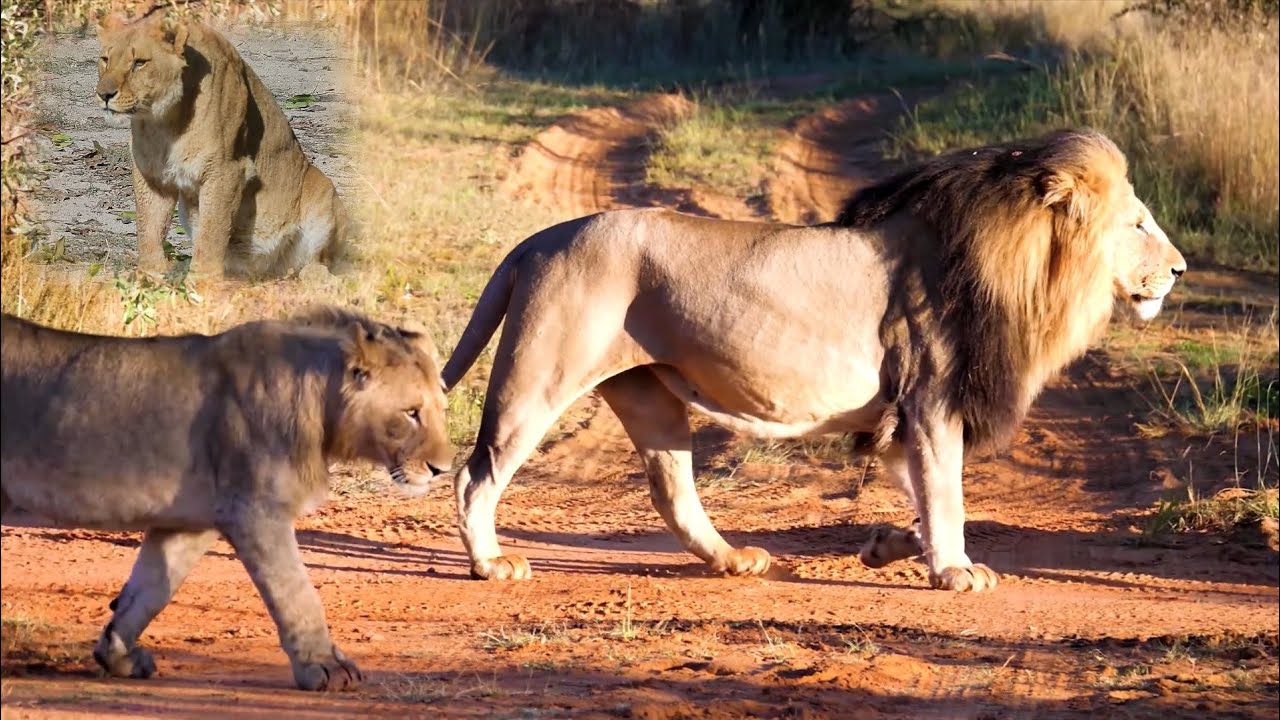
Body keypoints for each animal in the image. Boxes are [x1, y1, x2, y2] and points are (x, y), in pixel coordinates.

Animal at [0, 307, 454, 690]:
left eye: (440, 408)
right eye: (411, 413)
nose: (442, 469)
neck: (318, 400)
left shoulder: (189, 524)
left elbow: (147, 594)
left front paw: (119, 656)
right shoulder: (256, 512)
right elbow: (297, 593)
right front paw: (326, 667)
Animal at [95, 10, 350, 279]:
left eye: (139, 63)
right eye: (105, 59)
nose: (104, 94)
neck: (163, 120)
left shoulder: (226, 170)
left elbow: (211, 236)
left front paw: (200, 283)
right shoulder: (152, 175)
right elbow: (149, 229)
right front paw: (149, 277)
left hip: (323, 190)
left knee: (321, 263)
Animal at [441, 128, 1186, 591]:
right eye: (1138, 223)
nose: (1180, 269)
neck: (1028, 266)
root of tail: (542, 237)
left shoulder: (903, 419)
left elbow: (924, 499)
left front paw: (891, 546)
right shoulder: (931, 401)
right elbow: (947, 495)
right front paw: (954, 571)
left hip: (647, 393)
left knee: (672, 490)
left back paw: (732, 559)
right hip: (540, 375)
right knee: (476, 475)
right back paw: (491, 563)